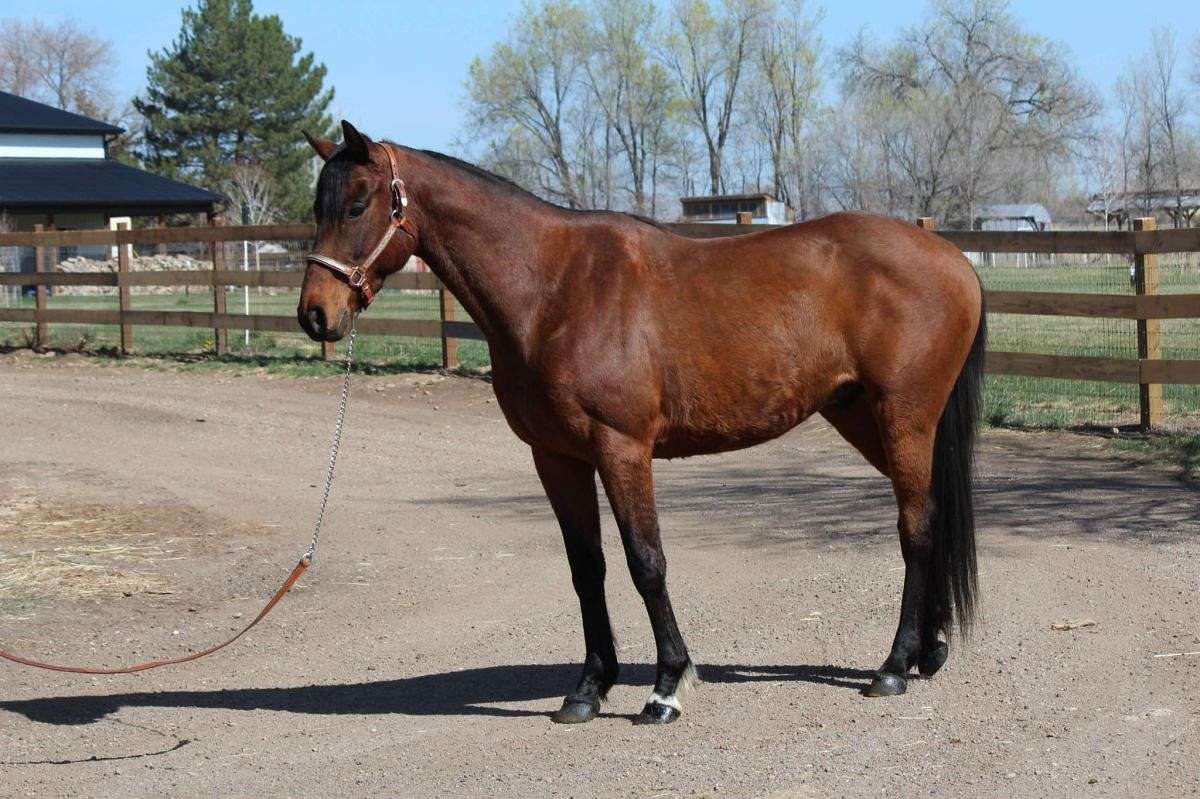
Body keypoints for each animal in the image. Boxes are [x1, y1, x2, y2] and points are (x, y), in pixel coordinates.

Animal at [297, 121, 986, 726]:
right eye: (317, 207)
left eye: (356, 205)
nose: (315, 314)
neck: (553, 289)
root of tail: (951, 256)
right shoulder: (557, 457)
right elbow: (588, 568)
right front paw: (588, 689)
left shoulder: (621, 448)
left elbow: (645, 562)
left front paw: (667, 687)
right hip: (861, 418)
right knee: (930, 516)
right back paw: (928, 651)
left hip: (903, 418)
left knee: (916, 529)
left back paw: (892, 667)